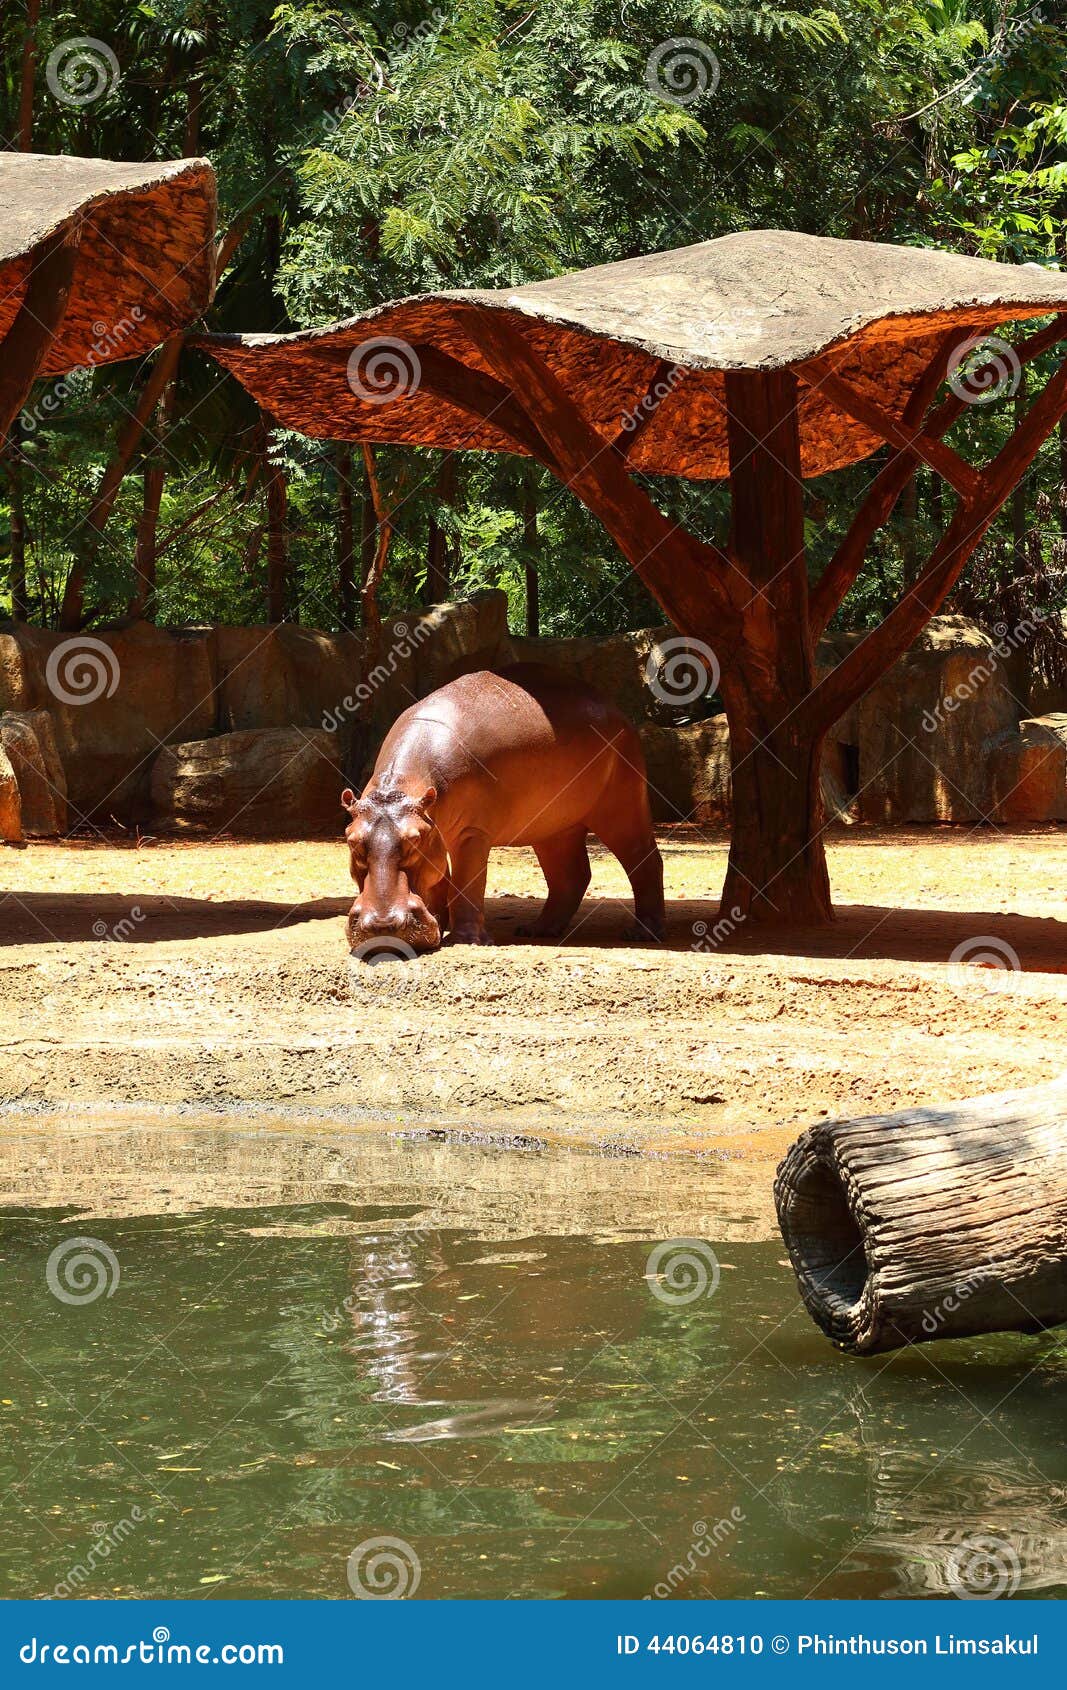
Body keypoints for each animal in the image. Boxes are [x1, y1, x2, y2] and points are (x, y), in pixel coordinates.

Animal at [342, 664, 665, 953]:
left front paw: (465, 940)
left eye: (415, 840)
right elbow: (440, 878)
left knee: (645, 859)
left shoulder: (470, 832)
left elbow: (467, 882)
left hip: (620, 805)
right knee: (571, 874)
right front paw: (440, 925)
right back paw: (537, 930)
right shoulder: (437, 832)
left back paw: (642, 933)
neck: (402, 787)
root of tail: (615, 709)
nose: (383, 927)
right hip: (553, 827)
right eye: (352, 841)